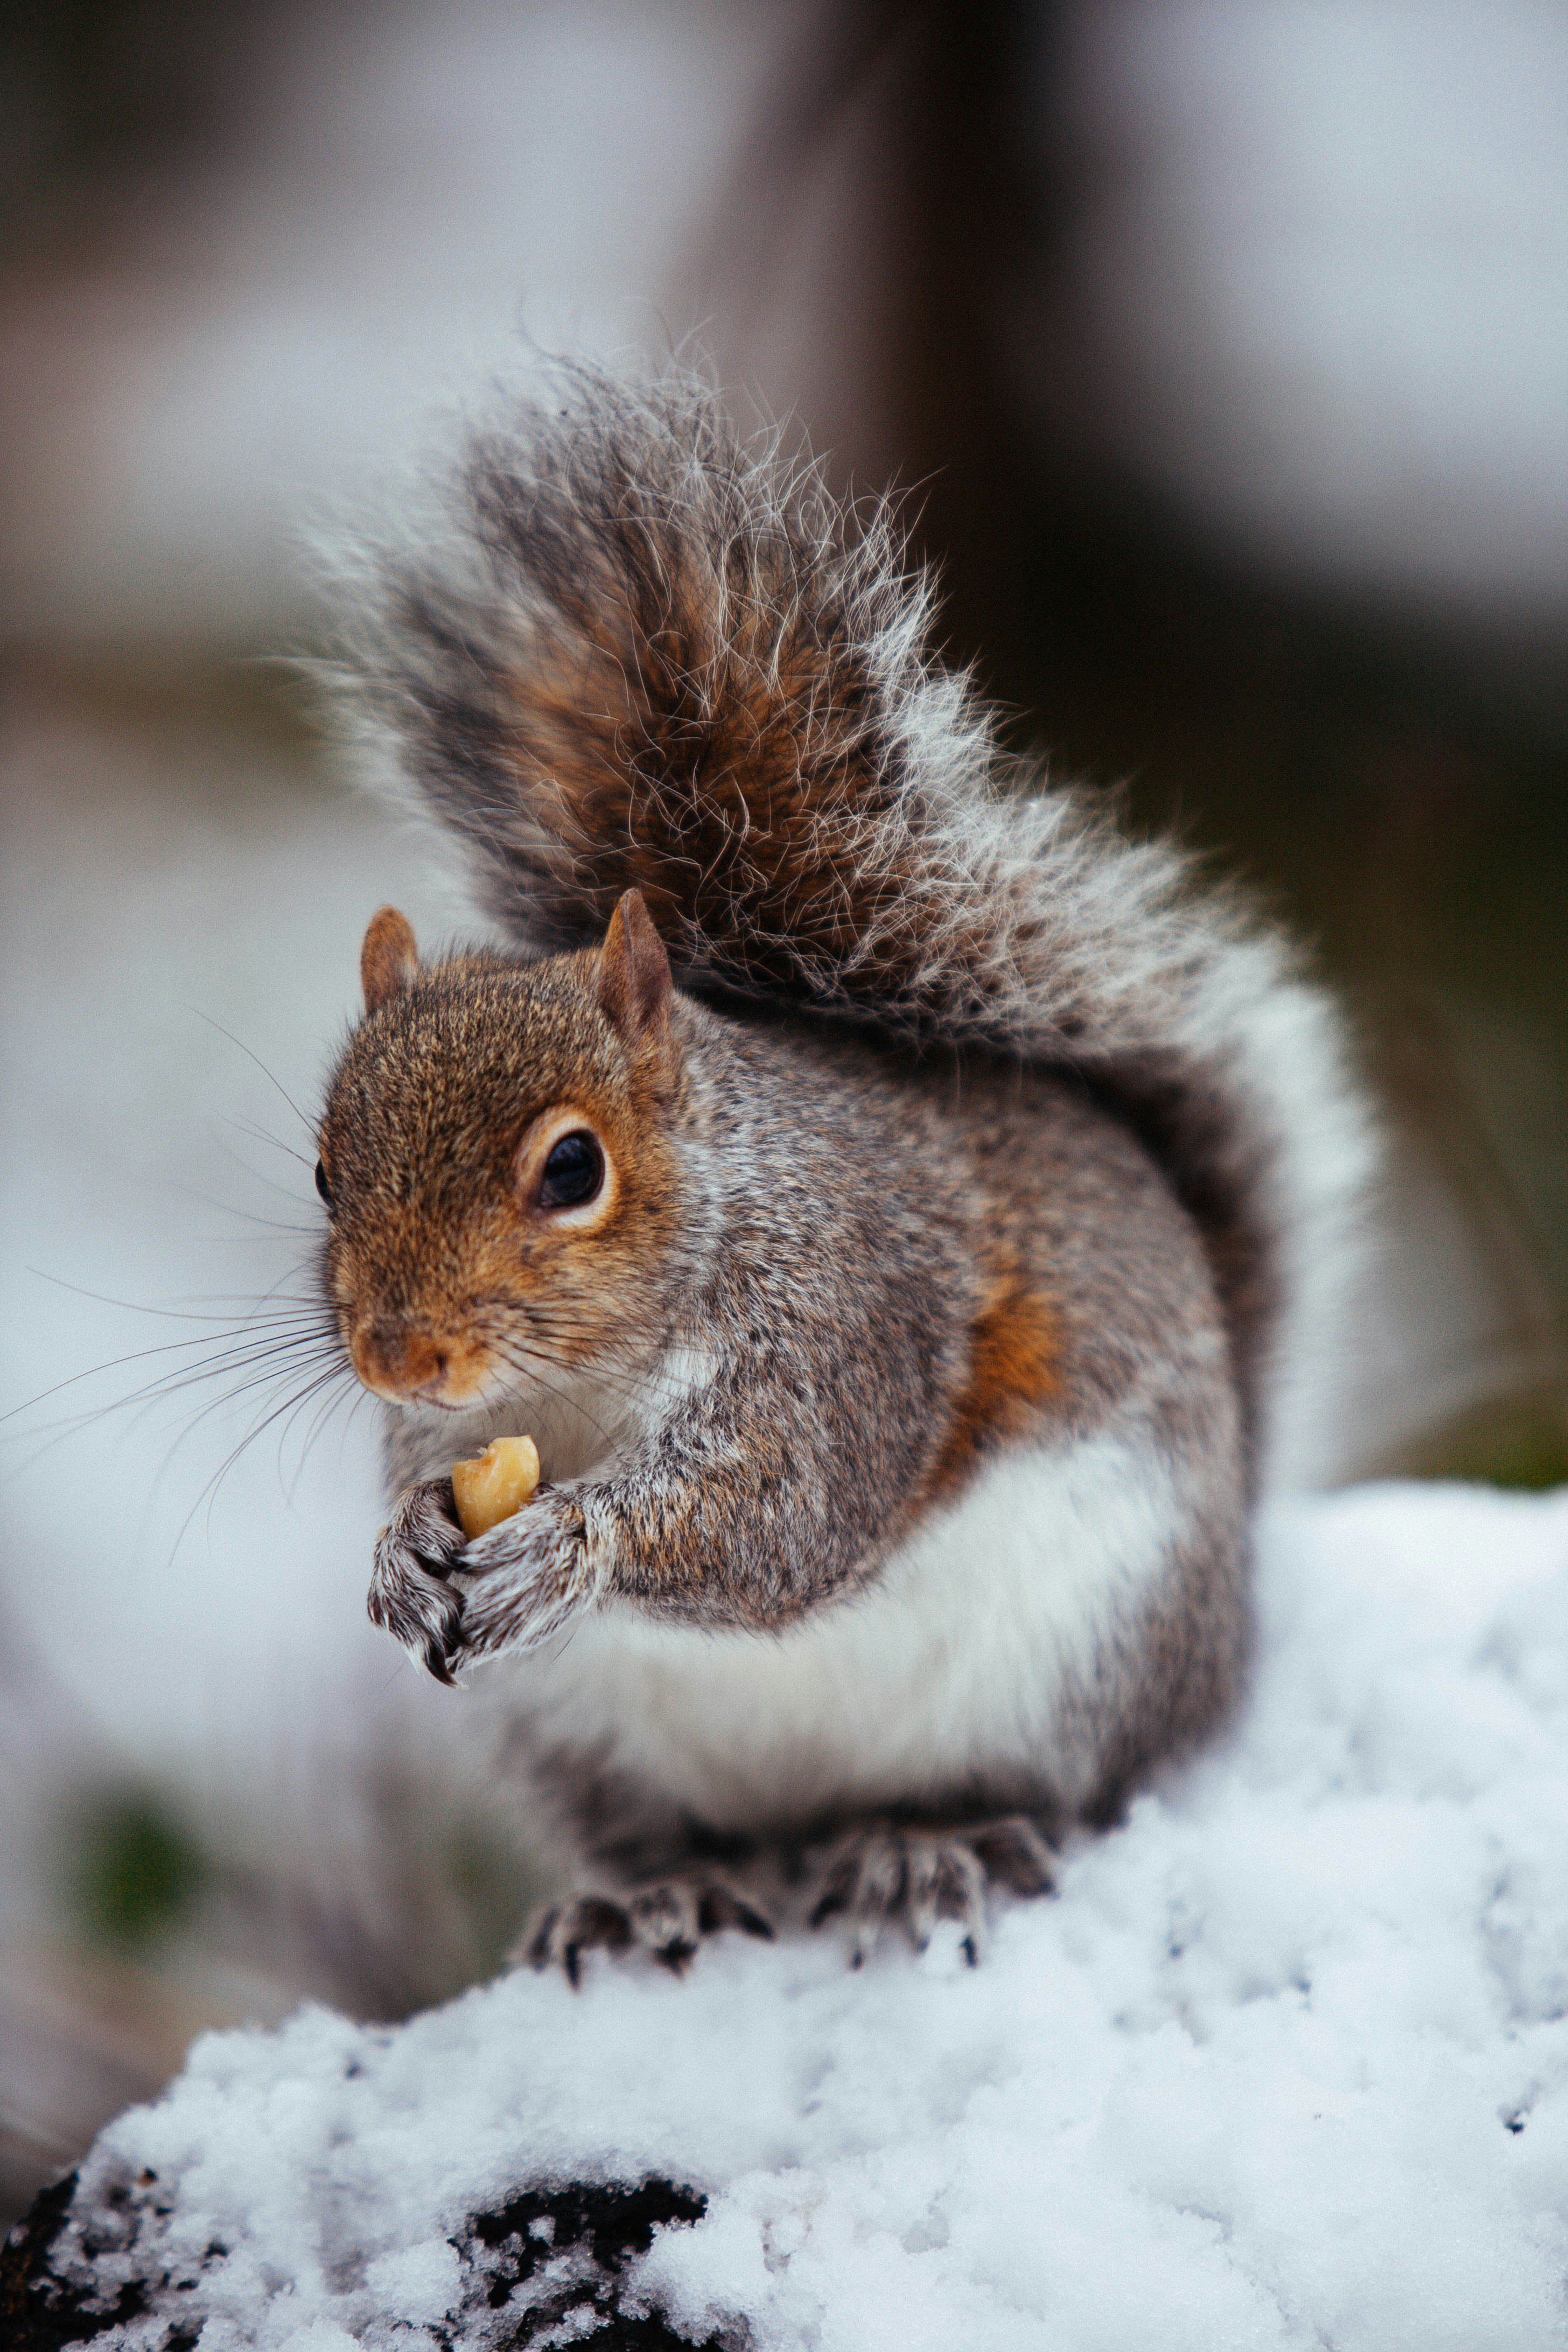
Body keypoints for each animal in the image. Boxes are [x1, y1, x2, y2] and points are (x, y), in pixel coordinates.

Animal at [314, 366, 1373, 1977]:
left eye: (573, 1169)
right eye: (325, 1170)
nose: (398, 1356)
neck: (585, 1383)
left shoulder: (849, 1316)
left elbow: (789, 1508)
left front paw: (572, 1542)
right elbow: (416, 1487)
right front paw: (399, 1548)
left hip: (1080, 1641)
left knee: (1033, 1791)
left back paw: (936, 1849)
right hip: (581, 1734)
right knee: (688, 1842)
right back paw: (653, 1896)